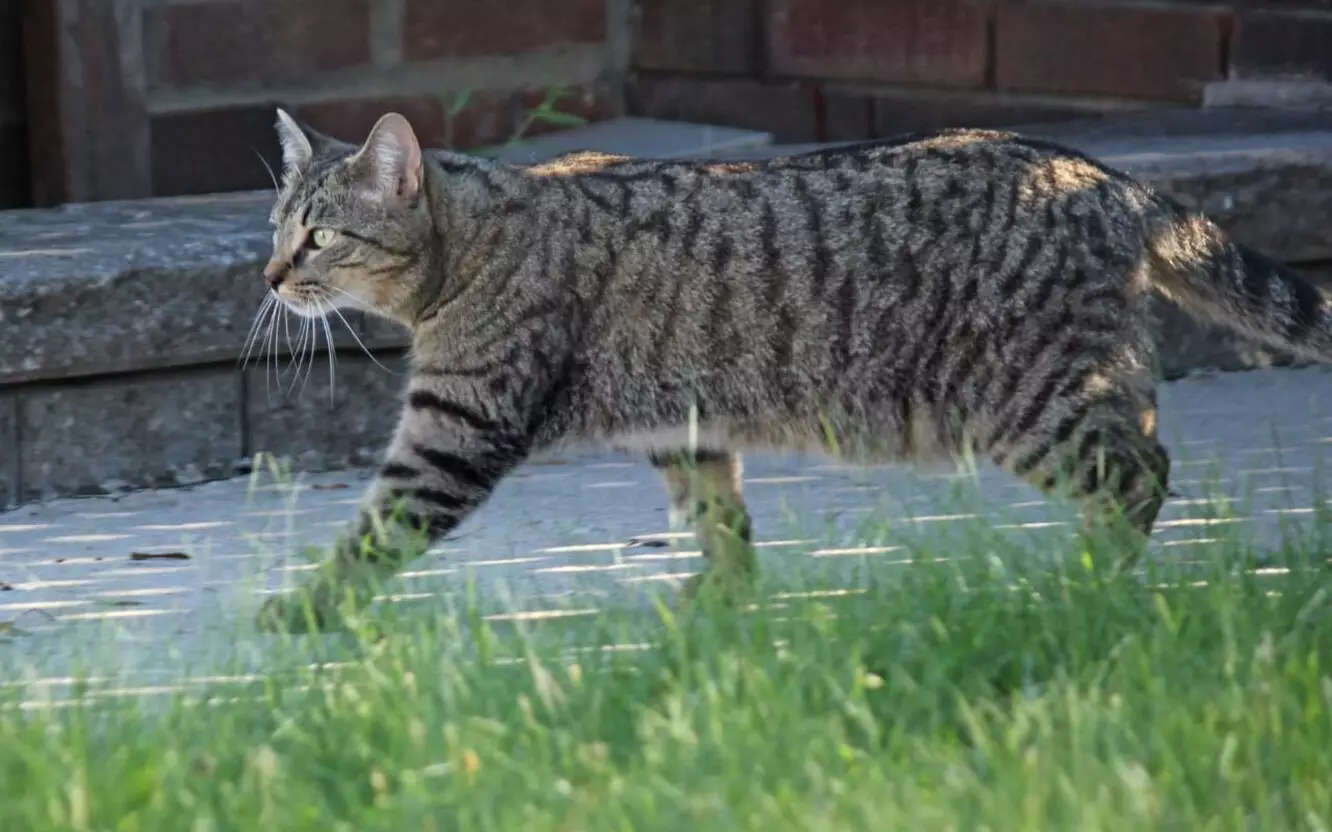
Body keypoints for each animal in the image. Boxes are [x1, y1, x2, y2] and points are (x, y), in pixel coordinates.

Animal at [251, 108, 1332, 628]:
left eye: (320, 237)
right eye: (274, 226)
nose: (268, 273)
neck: (471, 242)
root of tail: (1104, 172)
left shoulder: (455, 428)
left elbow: (371, 536)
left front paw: (298, 610)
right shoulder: (682, 427)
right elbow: (719, 520)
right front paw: (723, 599)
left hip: (1032, 395)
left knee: (1141, 470)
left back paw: (1087, 581)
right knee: (1143, 449)